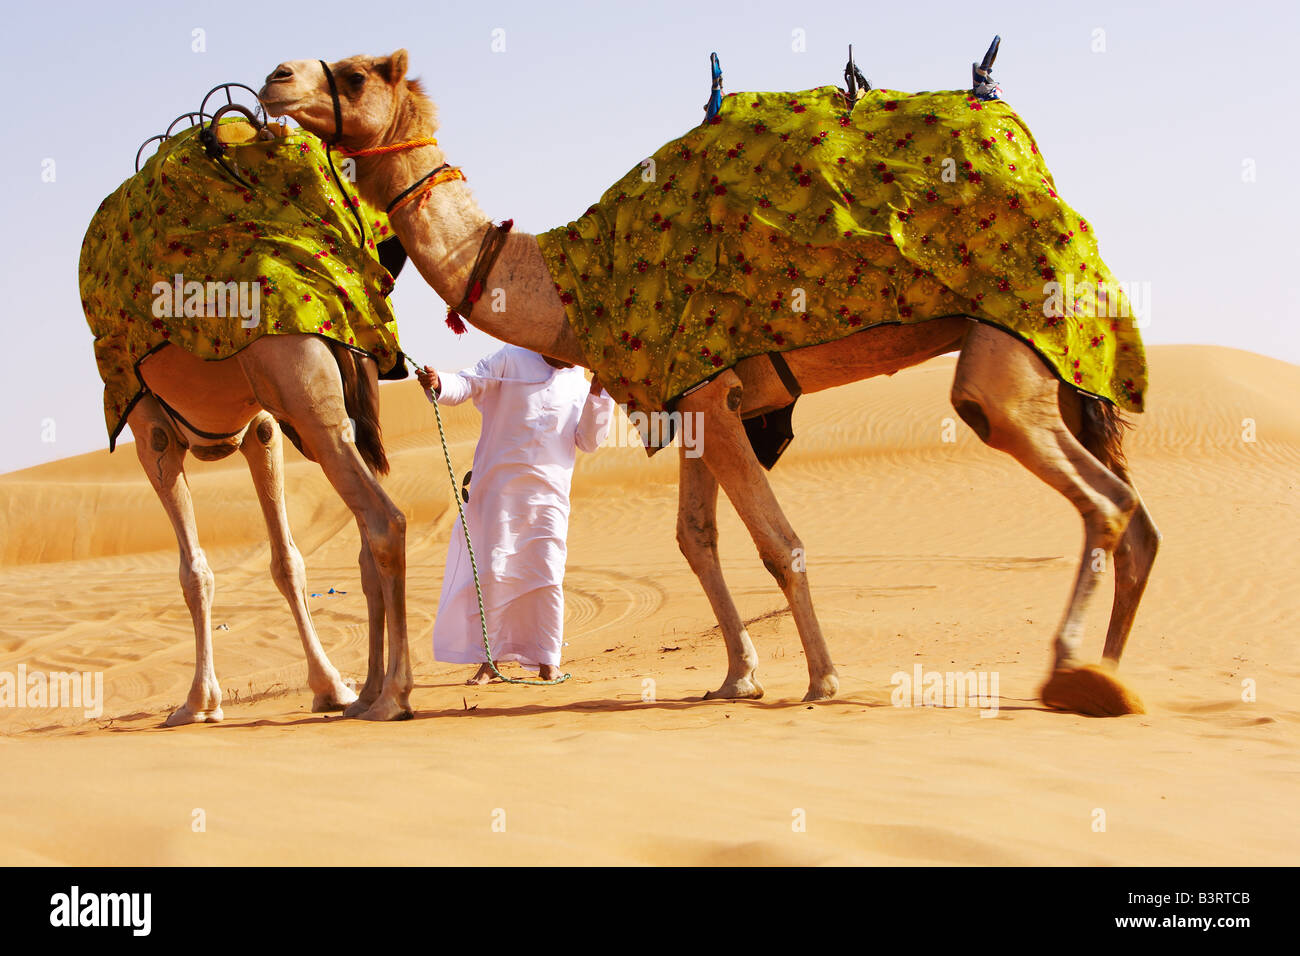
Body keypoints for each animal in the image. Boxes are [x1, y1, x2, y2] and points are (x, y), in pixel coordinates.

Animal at [259, 50, 1160, 715]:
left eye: (356, 74)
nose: (275, 77)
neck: (570, 281)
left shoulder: (709, 390)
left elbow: (778, 542)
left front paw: (822, 679)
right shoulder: (695, 397)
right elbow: (697, 538)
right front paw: (737, 676)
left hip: (1018, 328)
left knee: (1081, 483)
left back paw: (1074, 672)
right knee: (1133, 511)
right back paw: (1114, 674)